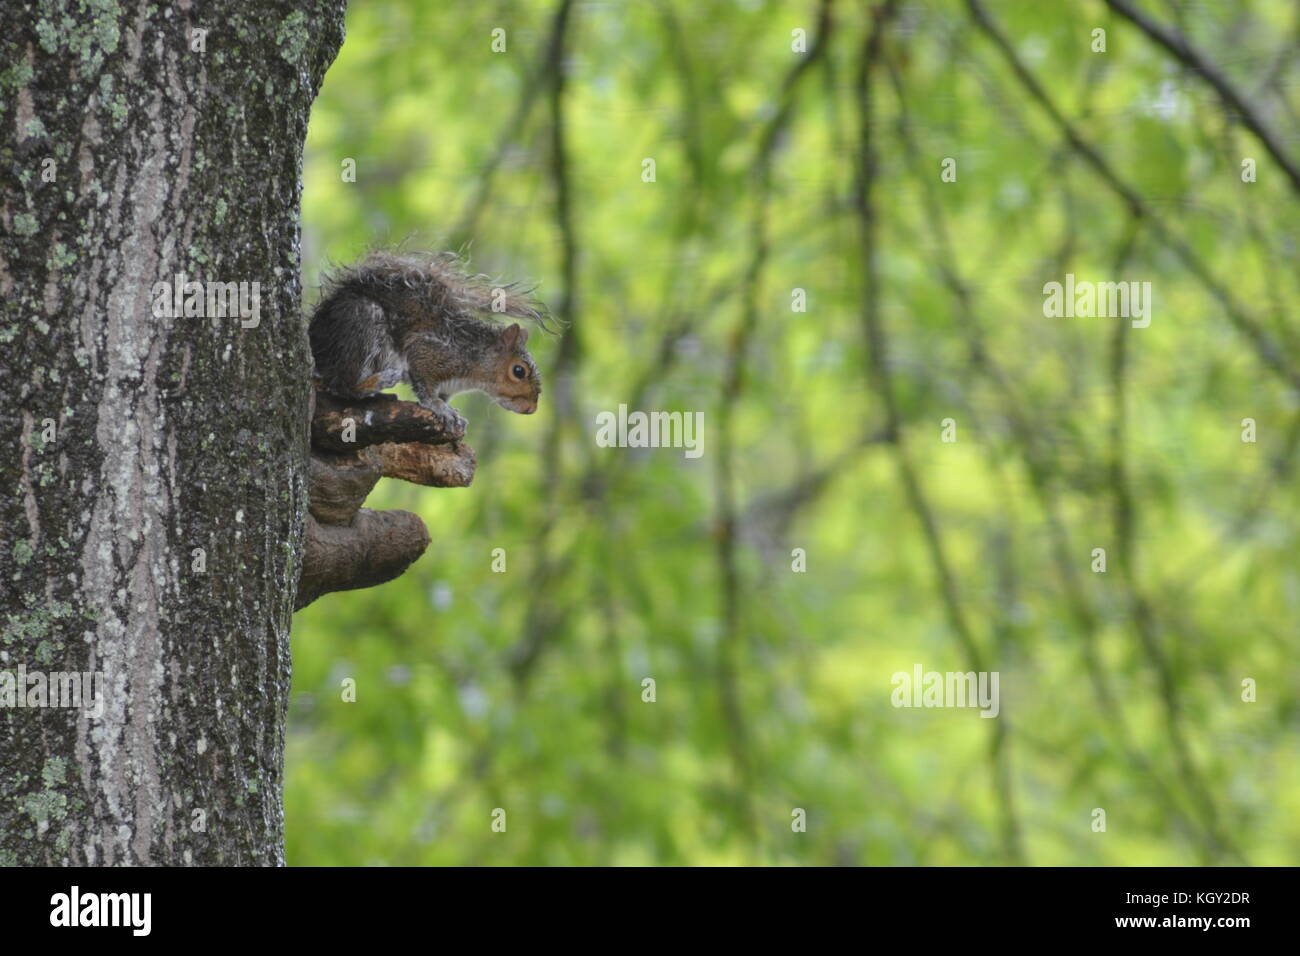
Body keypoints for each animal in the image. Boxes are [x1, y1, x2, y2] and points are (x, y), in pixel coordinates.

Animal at [308, 250, 551, 433]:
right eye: (519, 371)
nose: (531, 409)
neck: (474, 360)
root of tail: (316, 342)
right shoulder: (428, 352)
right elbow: (425, 388)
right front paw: (439, 407)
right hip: (362, 323)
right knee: (341, 385)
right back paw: (376, 383)